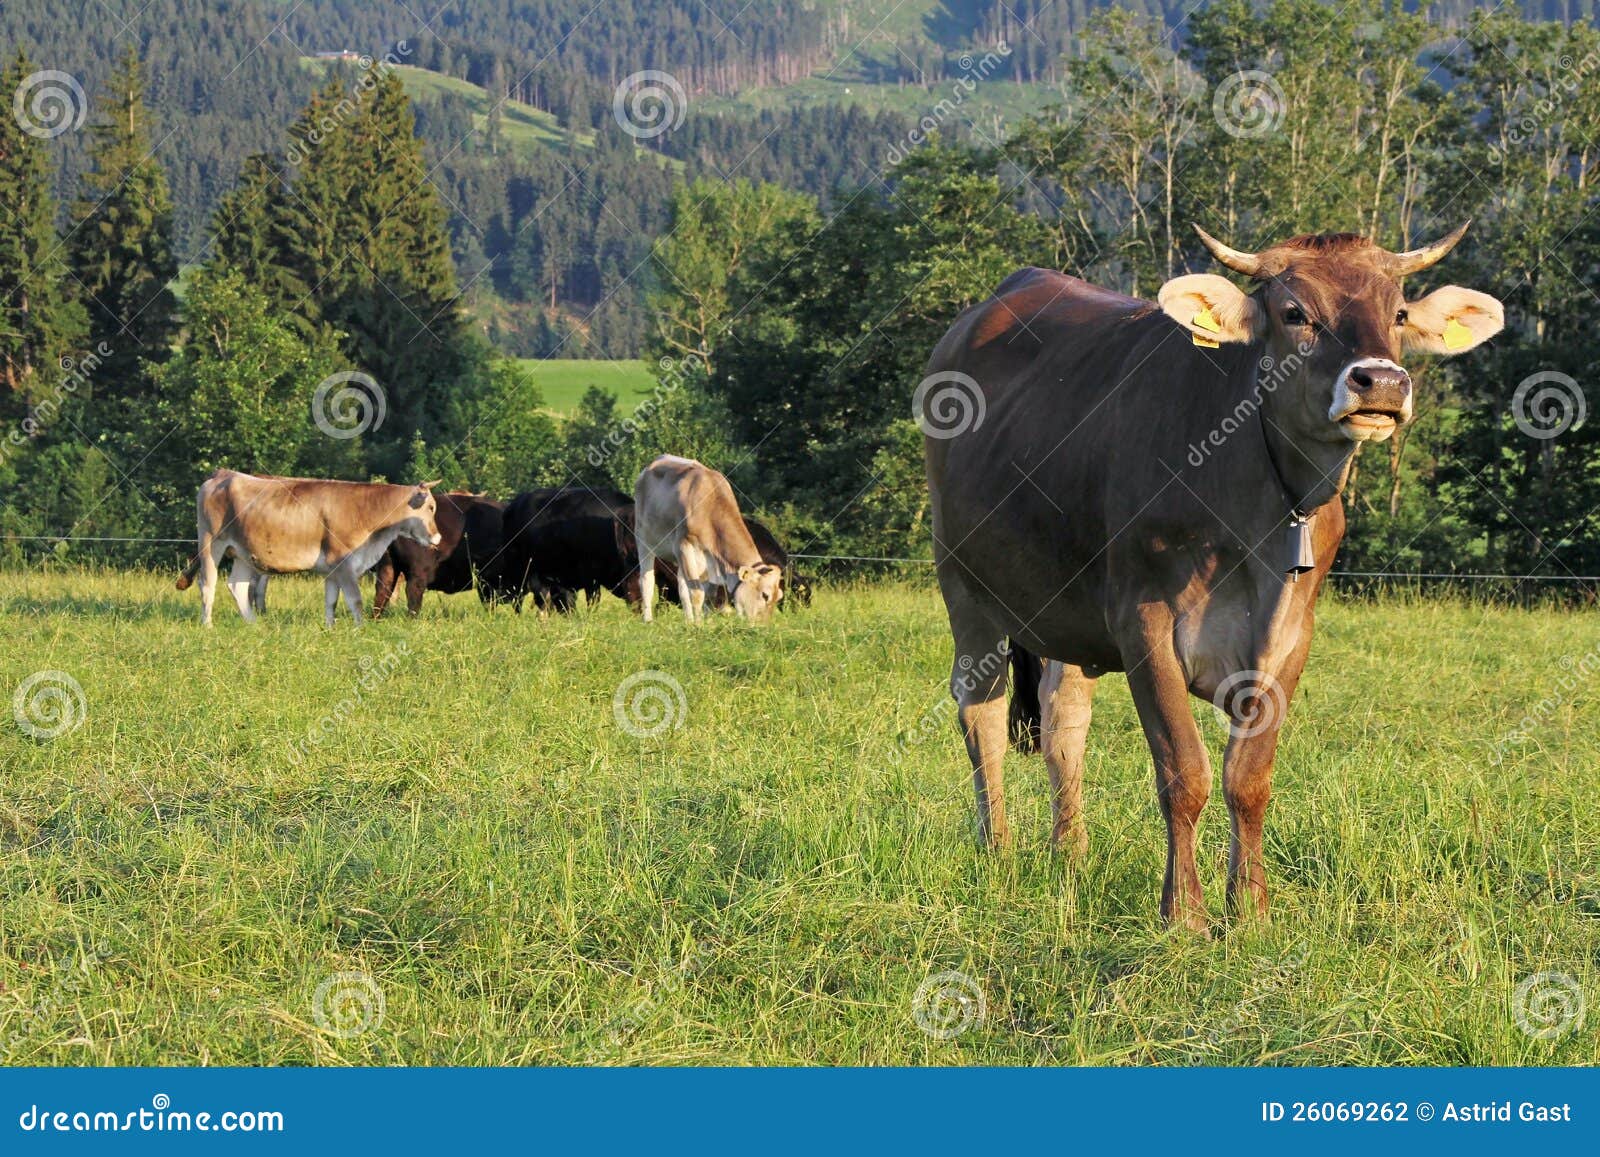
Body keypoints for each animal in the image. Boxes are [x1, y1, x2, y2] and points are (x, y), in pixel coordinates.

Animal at [181, 470, 442, 626]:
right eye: (430, 507)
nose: (438, 538)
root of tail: (223, 474)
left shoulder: (332, 568)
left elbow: (331, 601)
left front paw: (330, 628)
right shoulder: (344, 563)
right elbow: (355, 600)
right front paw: (361, 628)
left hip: (244, 553)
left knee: (238, 586)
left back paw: (254, 624)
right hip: (211, 543)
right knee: (208, 584)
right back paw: (208, 625)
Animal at [633, 455, 784, 623]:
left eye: (779, 597)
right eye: (765, 595)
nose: (763, 626)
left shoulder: (710, 562)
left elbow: (708, 596)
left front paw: (706, 623)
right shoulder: (683, 546)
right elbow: (697, 594)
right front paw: (699, 625)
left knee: (682, 587)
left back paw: (688, 620)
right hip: (643, 539)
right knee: (647, 581)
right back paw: (648, 620)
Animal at [923, 224, 1503, 930]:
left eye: (1396, 314)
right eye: (1294, 313)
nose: (1381, 383)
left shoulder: (1293, 634)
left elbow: (1247, 779)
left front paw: (1250, 910)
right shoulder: (1143, 620)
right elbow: (1185, 771)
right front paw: (1185, 915)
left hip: (1067, 610)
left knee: (1065, 722)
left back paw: (1071, 853)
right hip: (964, 584)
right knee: (981, 714)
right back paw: (999, 851)